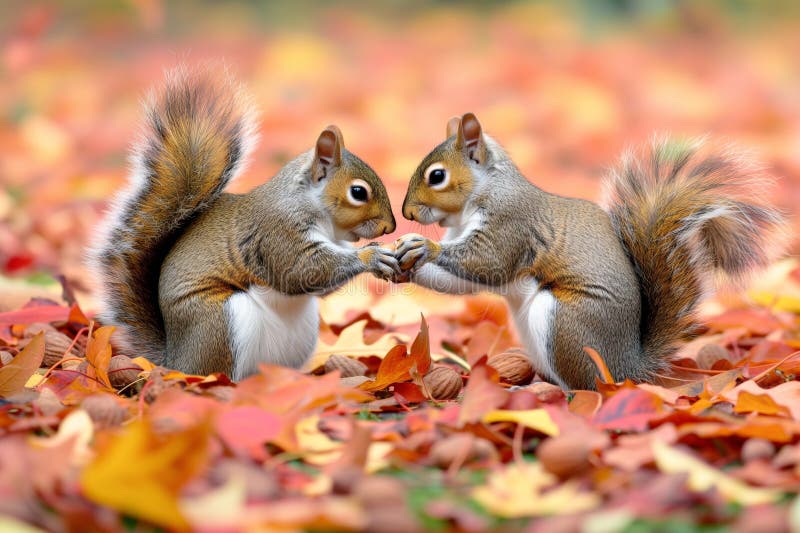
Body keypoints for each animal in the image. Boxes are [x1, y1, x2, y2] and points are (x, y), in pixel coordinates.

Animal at [90, 66, 398, 380]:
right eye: (358, 192)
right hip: (220, 323)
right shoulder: (277, 232)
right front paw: (371, 255)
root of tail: (174, 360)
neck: (320, 215)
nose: (390, 228)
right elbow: (302, 269)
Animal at [396, 112, 785, 390]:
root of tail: (627, 367)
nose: (407, 214)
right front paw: (401, 260)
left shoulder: (511, 223)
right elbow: (459, 281)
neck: (483, 192)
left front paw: (423, 245)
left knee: (587, 387)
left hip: (566, 325)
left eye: (437, 176)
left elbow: (487, 263)